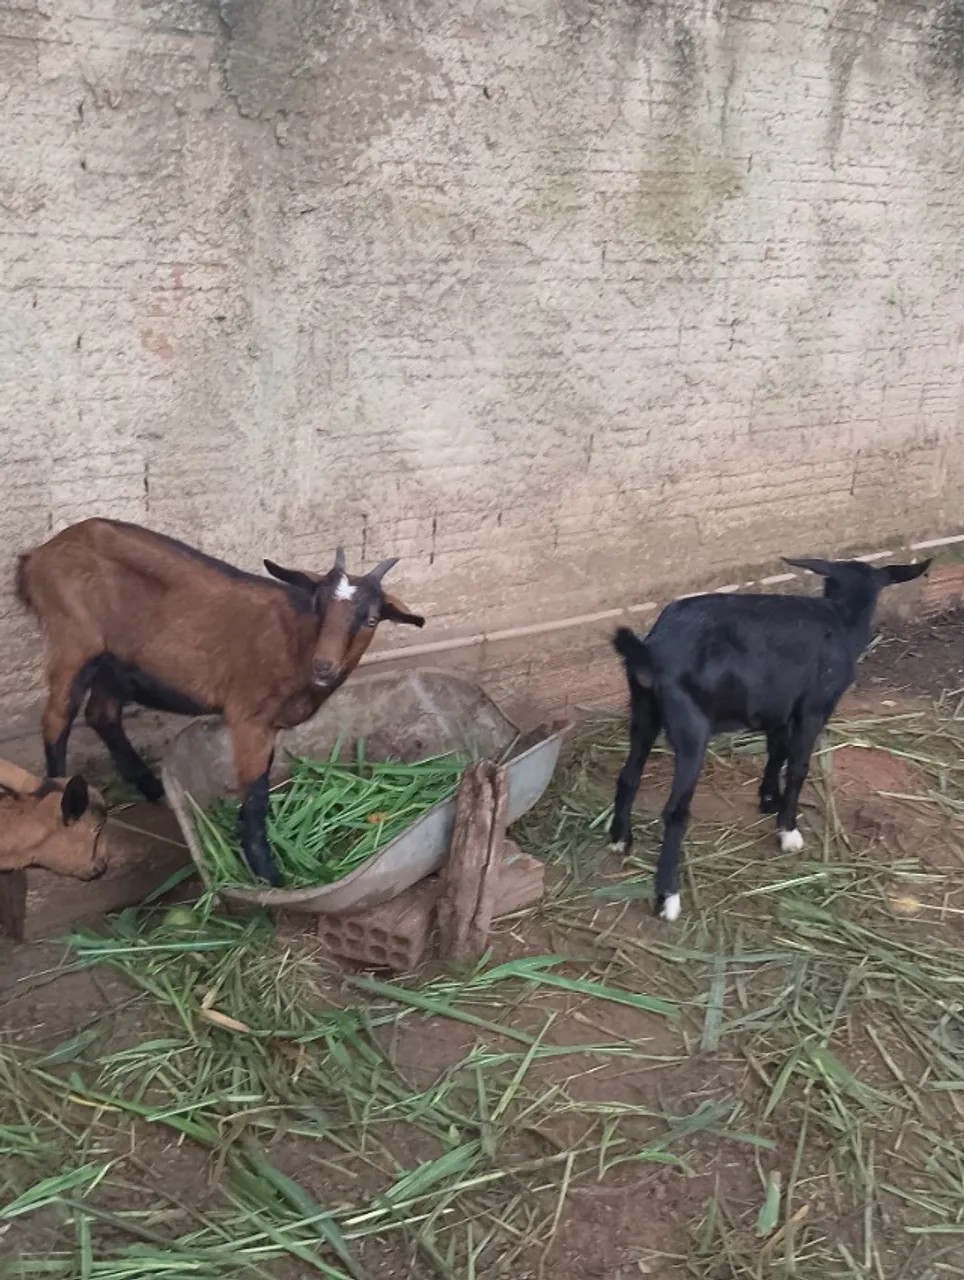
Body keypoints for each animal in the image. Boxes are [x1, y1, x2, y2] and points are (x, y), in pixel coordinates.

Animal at [16, 519, 425, 887]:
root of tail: (38, 556)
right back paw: (63, 799)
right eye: (317, 605)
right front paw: (267, 873)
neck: (295, 641)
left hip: (116, 662)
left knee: (101, 713)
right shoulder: (249, 717)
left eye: (371, 619)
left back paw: (153, 788)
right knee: (57, 718)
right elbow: (256, 793)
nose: (323, 665)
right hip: (74, 641)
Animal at [608, 556, 931, 922]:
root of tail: (653, 650)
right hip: (691, 728)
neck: (842, 618)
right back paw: (668, 897)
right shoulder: (812, 709)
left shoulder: (777, 707)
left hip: (643, 713)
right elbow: (798, 767)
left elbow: (777, 752)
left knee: (629, 776)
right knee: (676, 811)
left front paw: (768, 798)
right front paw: (788, 830)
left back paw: (620, 839)